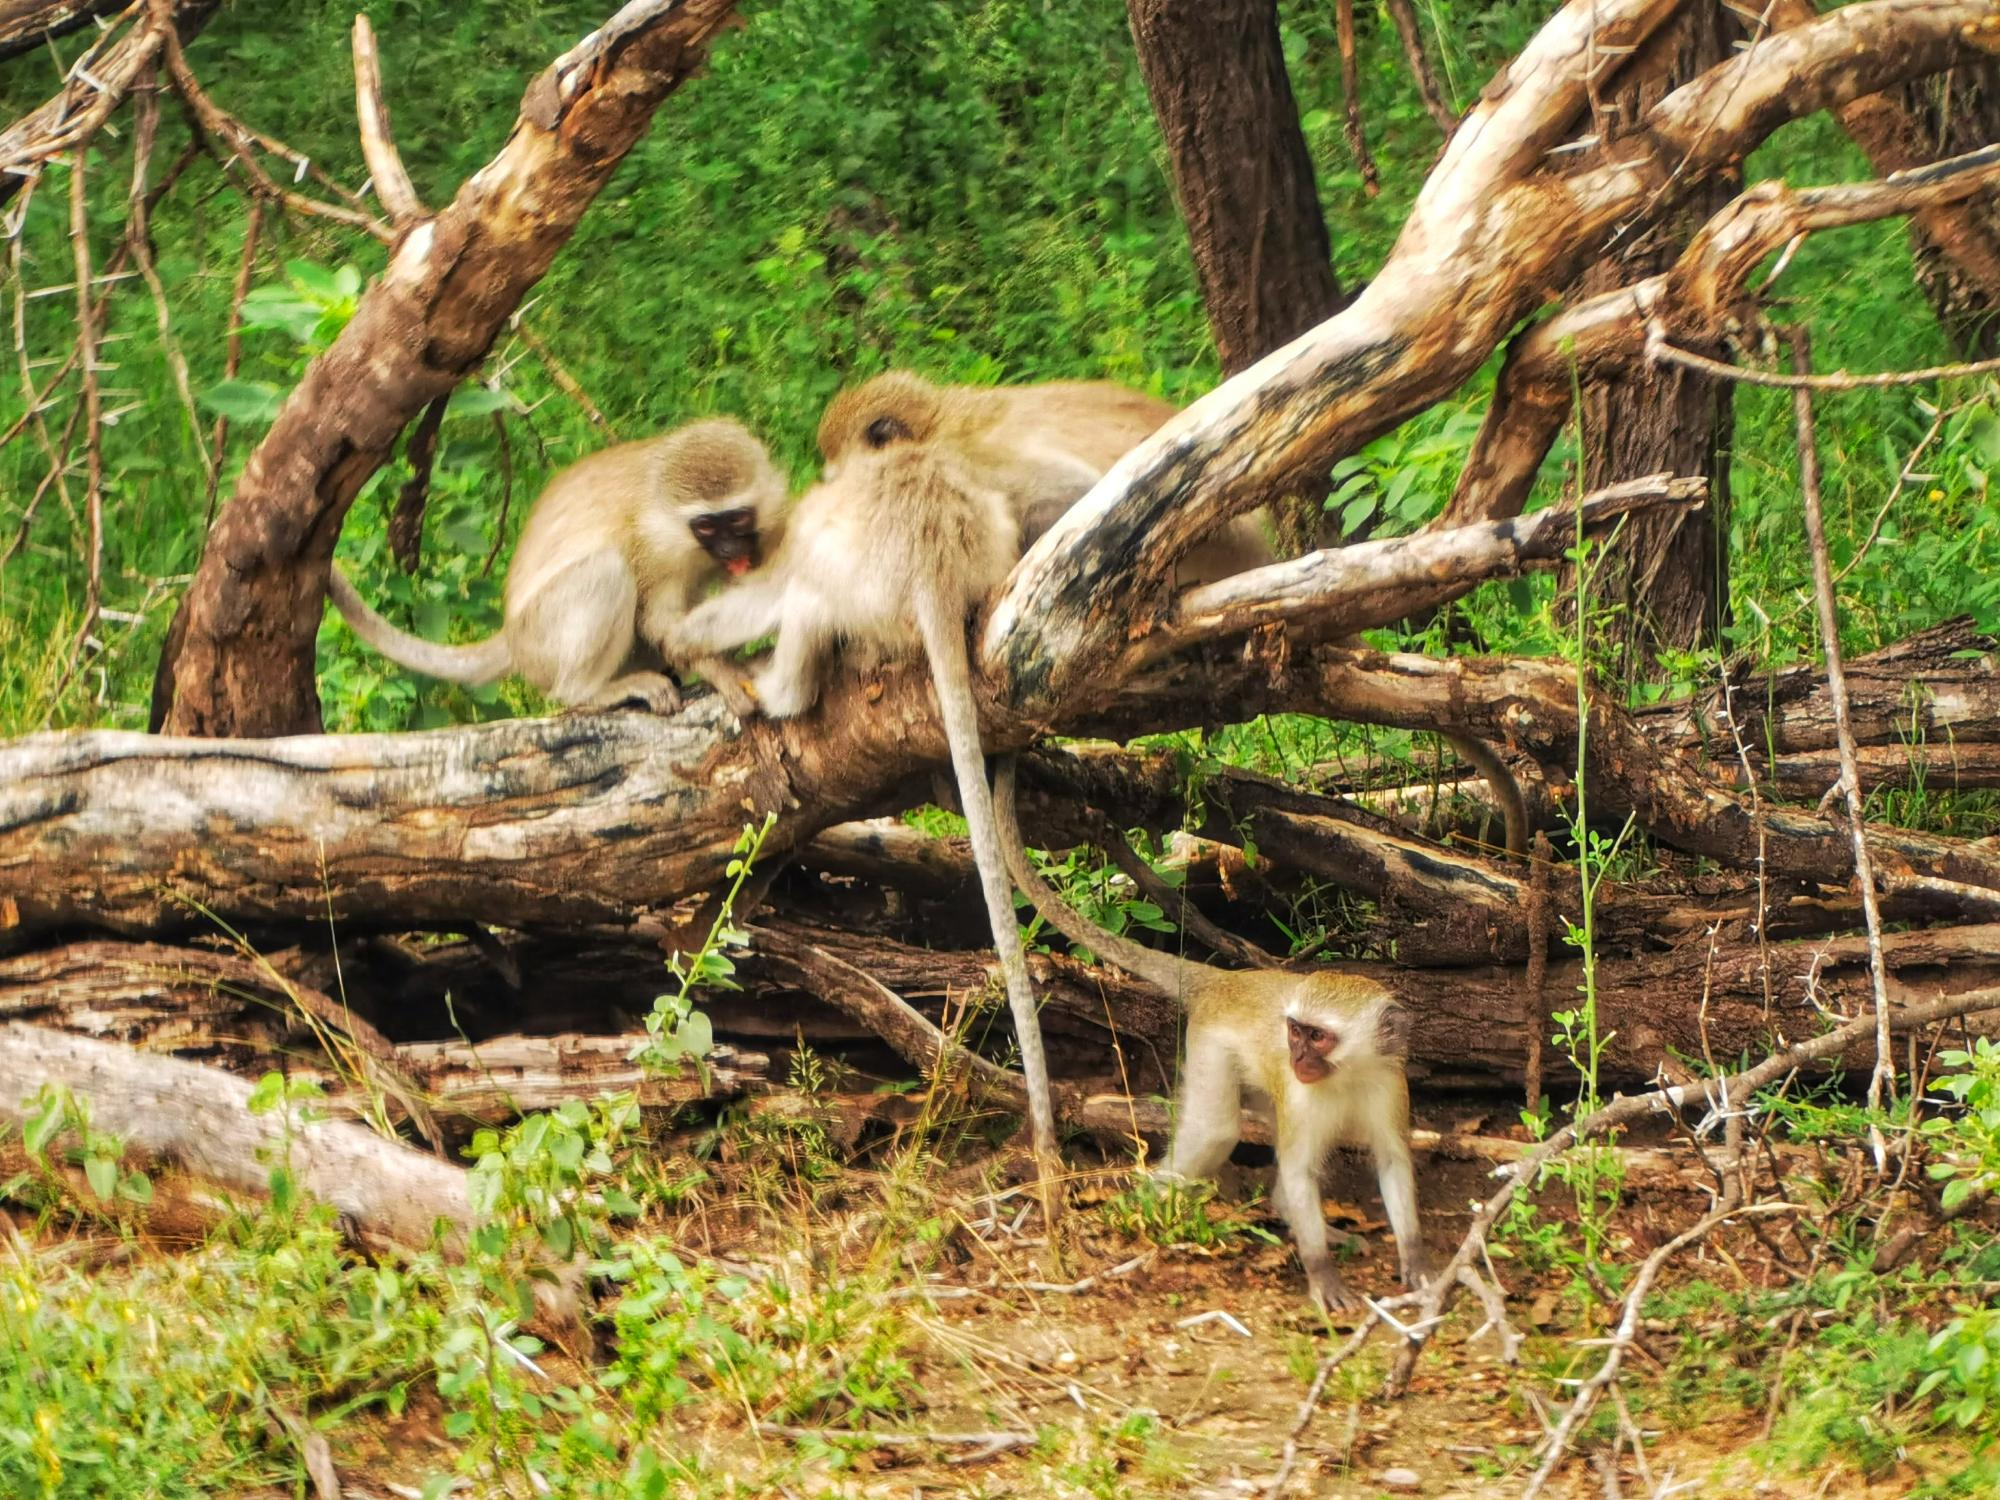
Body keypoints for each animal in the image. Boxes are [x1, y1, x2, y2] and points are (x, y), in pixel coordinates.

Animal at [324, 414, 784, 712]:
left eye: (737, 519)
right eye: (705, 526)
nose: (729, 550)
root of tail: (512, 639)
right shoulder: (657, 547)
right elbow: (660, 620)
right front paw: (721, 671)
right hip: (542, 639)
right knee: (606, 570)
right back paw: (585, 692)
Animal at [672, 452, 1072, 1168]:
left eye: (737, 529)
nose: (731, 554)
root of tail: (938, 569)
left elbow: (771, 594)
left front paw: (684, 639)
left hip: (854, 587)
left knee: (806, 595)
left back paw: (781, 693)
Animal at [992, 756, 1432, 1312]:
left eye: (1318, 1037)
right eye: (1296, 1032)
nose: (1297, 1059)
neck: (1347, 1076)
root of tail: (1226, 981)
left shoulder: (1389, 1082)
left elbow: (1394, 1162)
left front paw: (1415, 1260)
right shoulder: (1301, 1094)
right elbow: (1299, 1171)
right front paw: (1323, 1276)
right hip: (1209, 1046)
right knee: (1216, 1131)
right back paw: (1148, 1200)